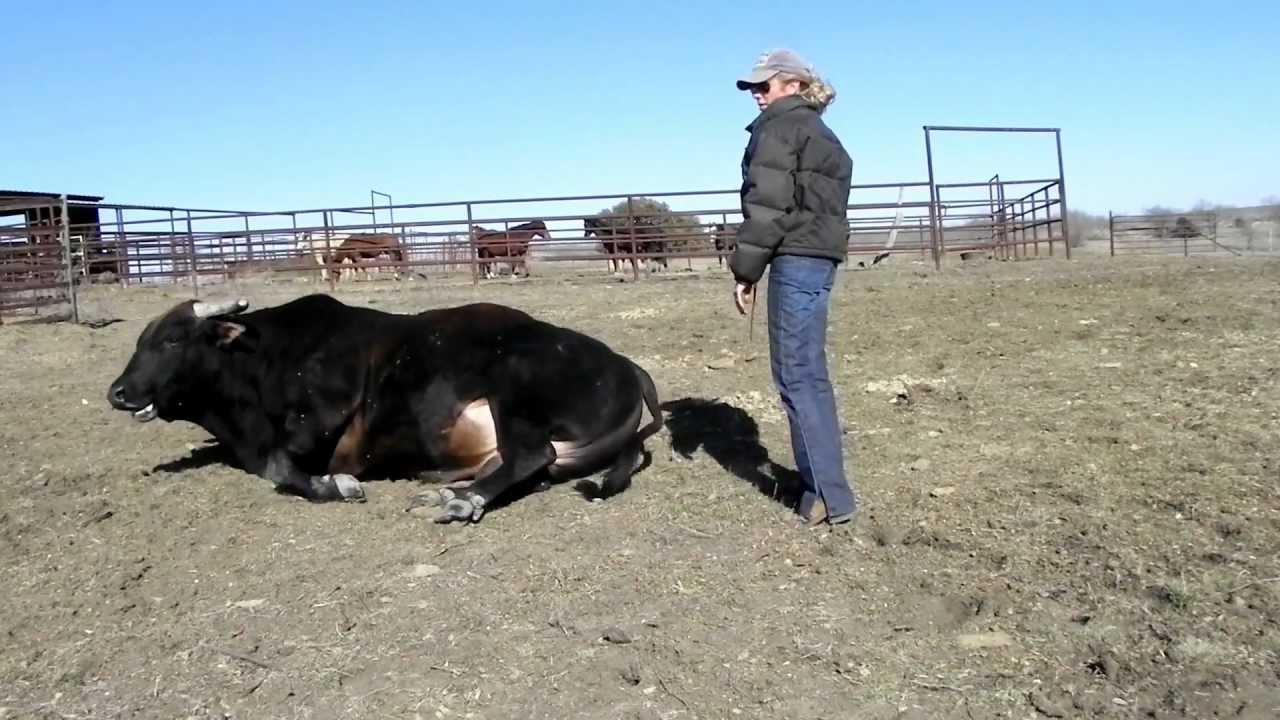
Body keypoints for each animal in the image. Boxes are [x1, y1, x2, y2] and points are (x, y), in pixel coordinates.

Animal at [105, 295, 664, 524]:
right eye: (140, 339)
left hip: (514, 386)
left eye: (173, 339)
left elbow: (282, 467)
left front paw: (336, 486)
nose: (118, 392)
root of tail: (624, 363)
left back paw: (460, 500)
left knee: (532, 454)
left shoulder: (323, 416)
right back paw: (449, 489)